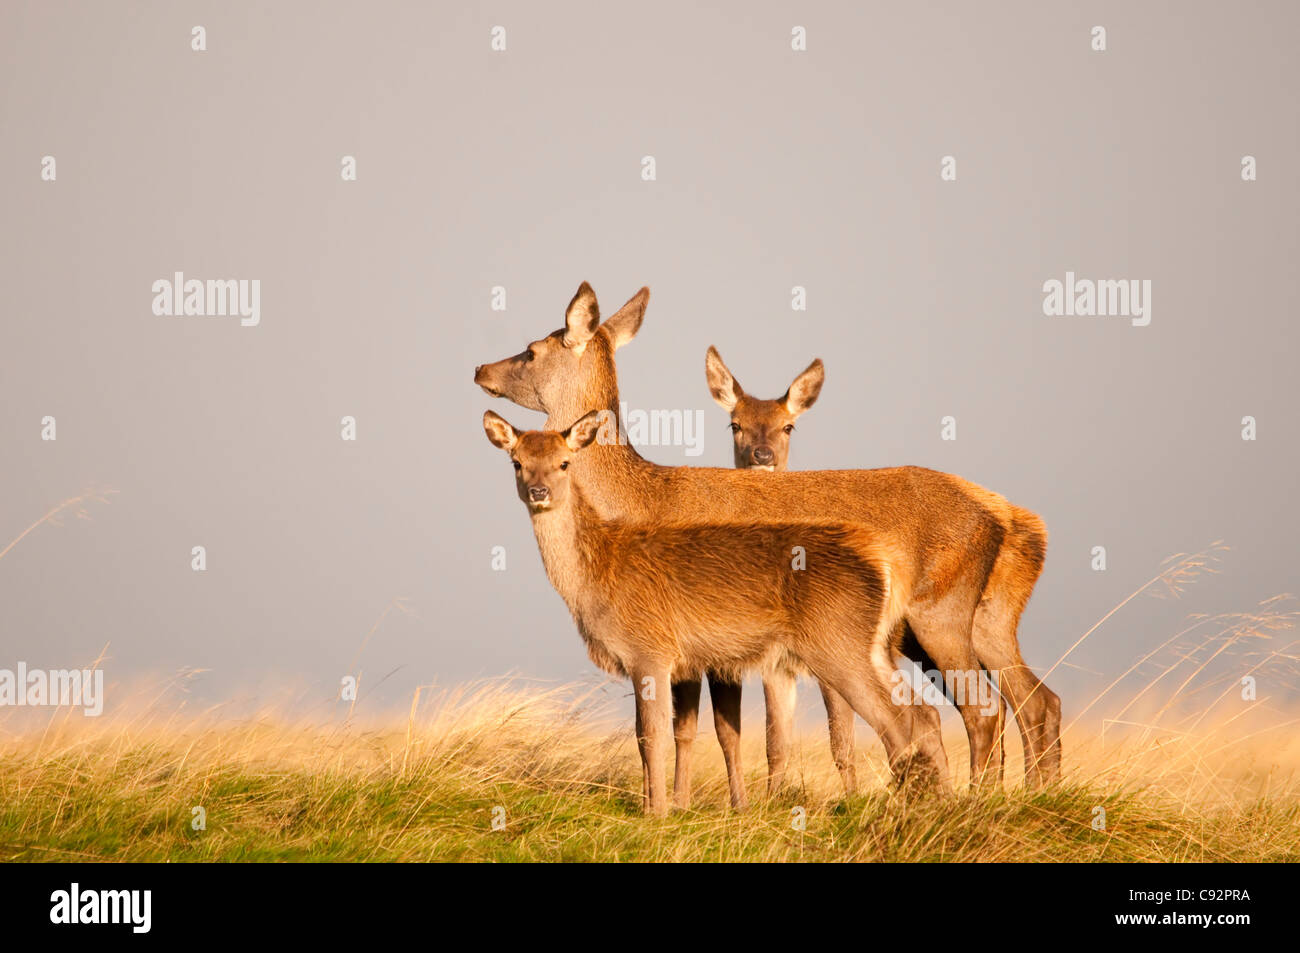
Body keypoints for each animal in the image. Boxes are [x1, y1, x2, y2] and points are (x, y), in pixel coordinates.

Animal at [482, 408, 949, 816]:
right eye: (517, 463)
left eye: (564, 463)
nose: (539, 492)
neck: (597, 576)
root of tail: (883, 561)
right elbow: (654, 735)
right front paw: (658, 806)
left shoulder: (650, 650)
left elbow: (650, 735)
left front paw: (656, 814)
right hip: (871, 646)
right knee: (924, 715)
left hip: (837, 643)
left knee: (897, 721)